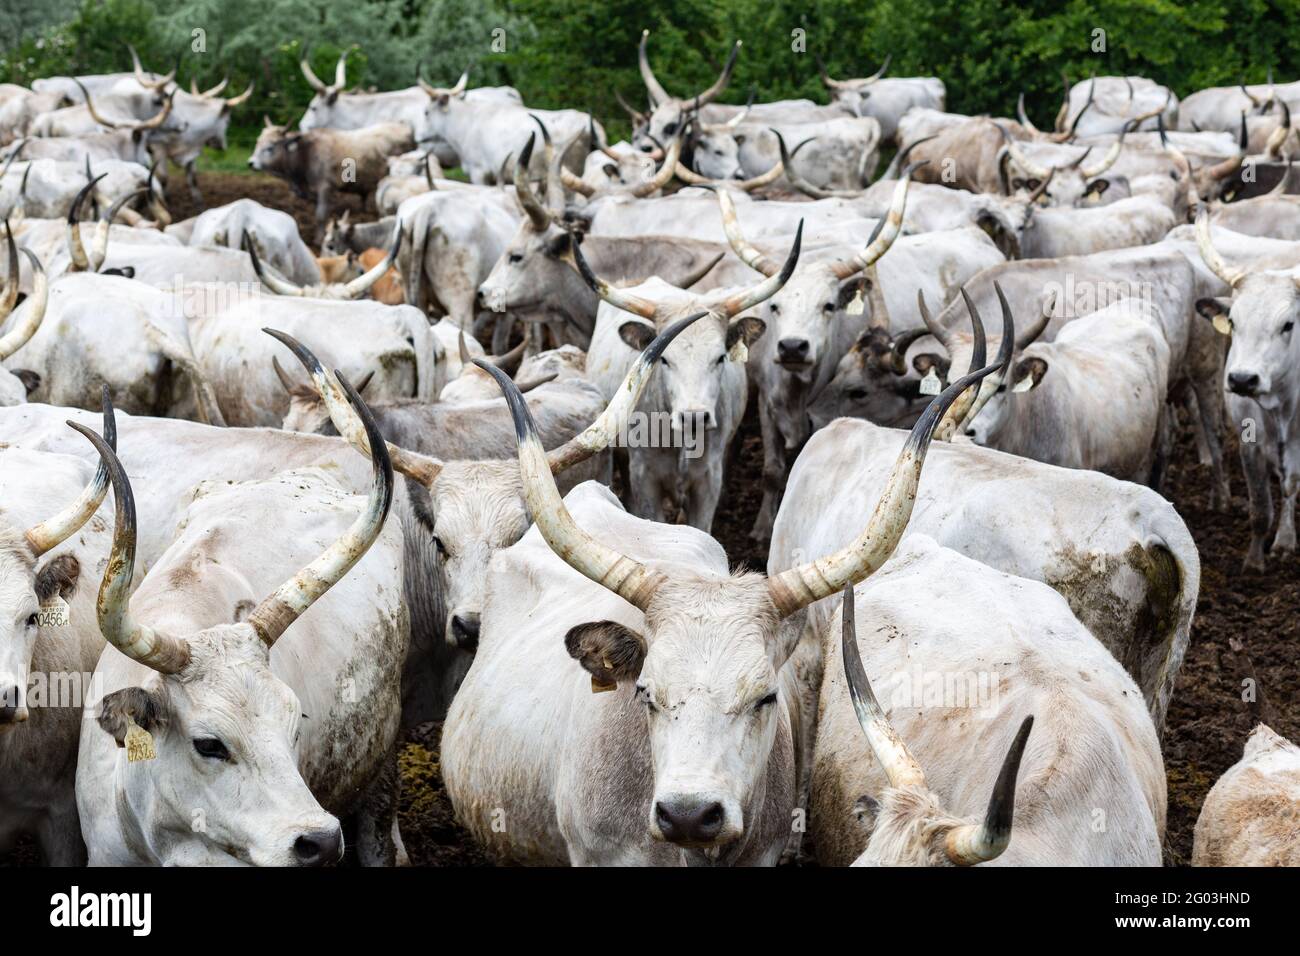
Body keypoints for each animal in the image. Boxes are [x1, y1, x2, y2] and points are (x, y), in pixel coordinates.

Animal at [249, 120, 415, 229]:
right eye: (257, 142)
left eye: (270, 147)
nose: (251, 163)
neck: (306, 153)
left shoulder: (325, 187)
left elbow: (321, 215)